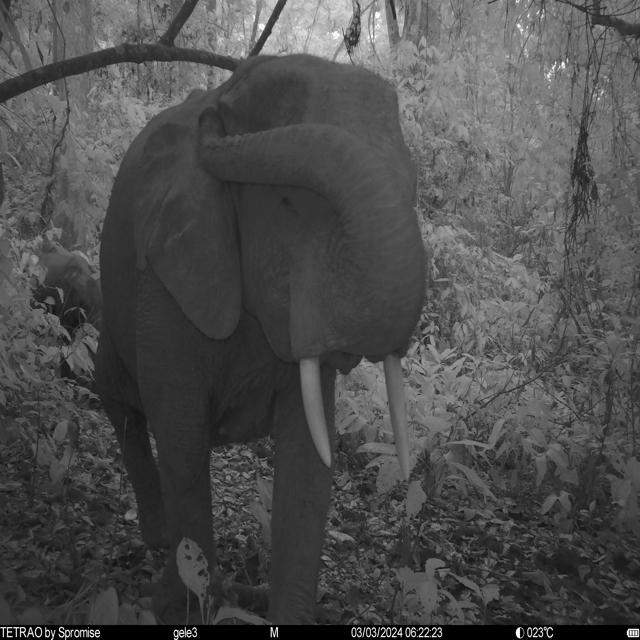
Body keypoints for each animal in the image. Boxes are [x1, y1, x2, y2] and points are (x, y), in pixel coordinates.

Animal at [95, 53, 425, 624]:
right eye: (289, 202)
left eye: (410, 192)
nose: (210, 116)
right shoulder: (164, 278)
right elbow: (180, 434)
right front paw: (183, 607)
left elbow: (309, 461)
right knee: (124, 411)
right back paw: (156, 540)